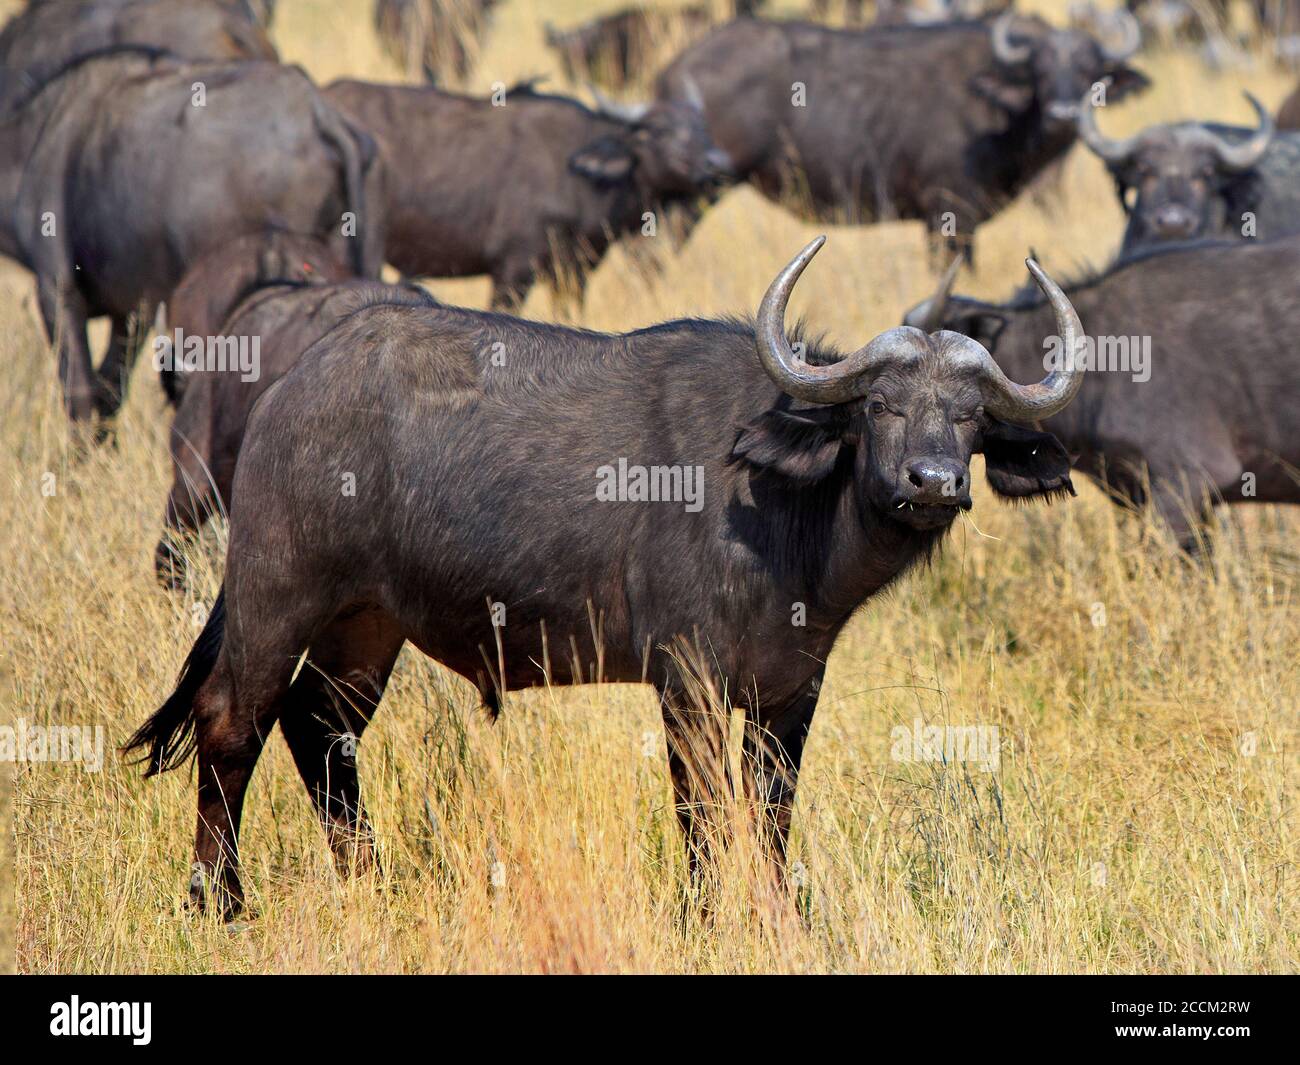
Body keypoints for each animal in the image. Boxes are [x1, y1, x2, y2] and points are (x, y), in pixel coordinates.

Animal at [0, 49, 383, 423]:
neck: (36, 136)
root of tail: (316, 114)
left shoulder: (56, 288)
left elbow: (79, 393)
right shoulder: (132, 312)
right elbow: (111, 390)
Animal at [126, 237, 1088, 916]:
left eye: (969, 417)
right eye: (881, 406)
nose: (934, 483)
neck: (781, 512)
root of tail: (291, 387)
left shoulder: (793, 690)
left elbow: (771, 813)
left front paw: (778, 915)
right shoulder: (686, 681)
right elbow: (703, 810)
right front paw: (703, 917)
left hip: (367, 624)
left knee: (320, 730)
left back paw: (373, 881)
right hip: (277, 592)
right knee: (231, 721)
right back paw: (219, 901)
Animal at [325, 78, 731, 310]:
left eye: (702, 127)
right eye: (657, 131)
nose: (717, 164)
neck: (576, 174)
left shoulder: (574, 275)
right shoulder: (513, 272)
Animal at [656, 11, 1148, 259]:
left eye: (1089, 71)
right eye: (1039, 71)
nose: (1064, 117)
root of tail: (675, 69)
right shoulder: (949, 215)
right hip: (696, 191)